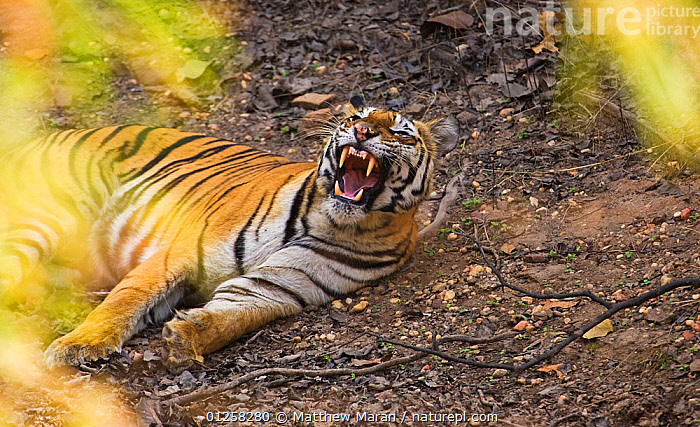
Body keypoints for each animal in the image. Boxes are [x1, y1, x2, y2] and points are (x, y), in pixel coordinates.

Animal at [0, 98, 458, 370]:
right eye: (356, 118)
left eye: (400, 131)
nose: (362, 132)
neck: (334, 220)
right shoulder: (178, 253)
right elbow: (124, 300)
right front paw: (79, 344)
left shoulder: (275, 287)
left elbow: (232, 317)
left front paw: (185, 337)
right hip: (45, 217)